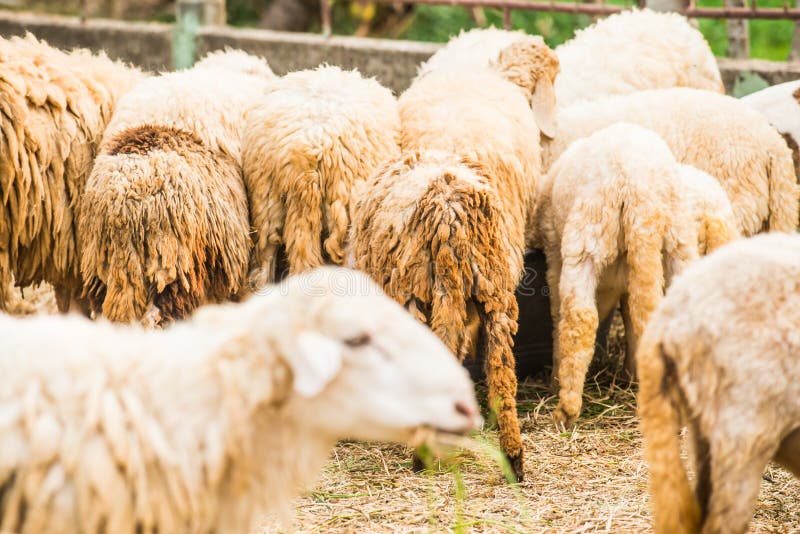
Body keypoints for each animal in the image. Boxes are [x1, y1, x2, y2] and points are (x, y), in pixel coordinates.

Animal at [350, 38, 559, 481]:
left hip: (425, 292)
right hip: (495, 293)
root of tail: (450, 206)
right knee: (501, 371)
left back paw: (425, 451)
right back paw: (513, 458)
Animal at [535, 123, 739, 426]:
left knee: (579, 318)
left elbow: (559, 312)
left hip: (587, 233)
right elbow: (631, 317)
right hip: (677, 241)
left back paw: (566, 409)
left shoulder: (553, 252)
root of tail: (637, 185)